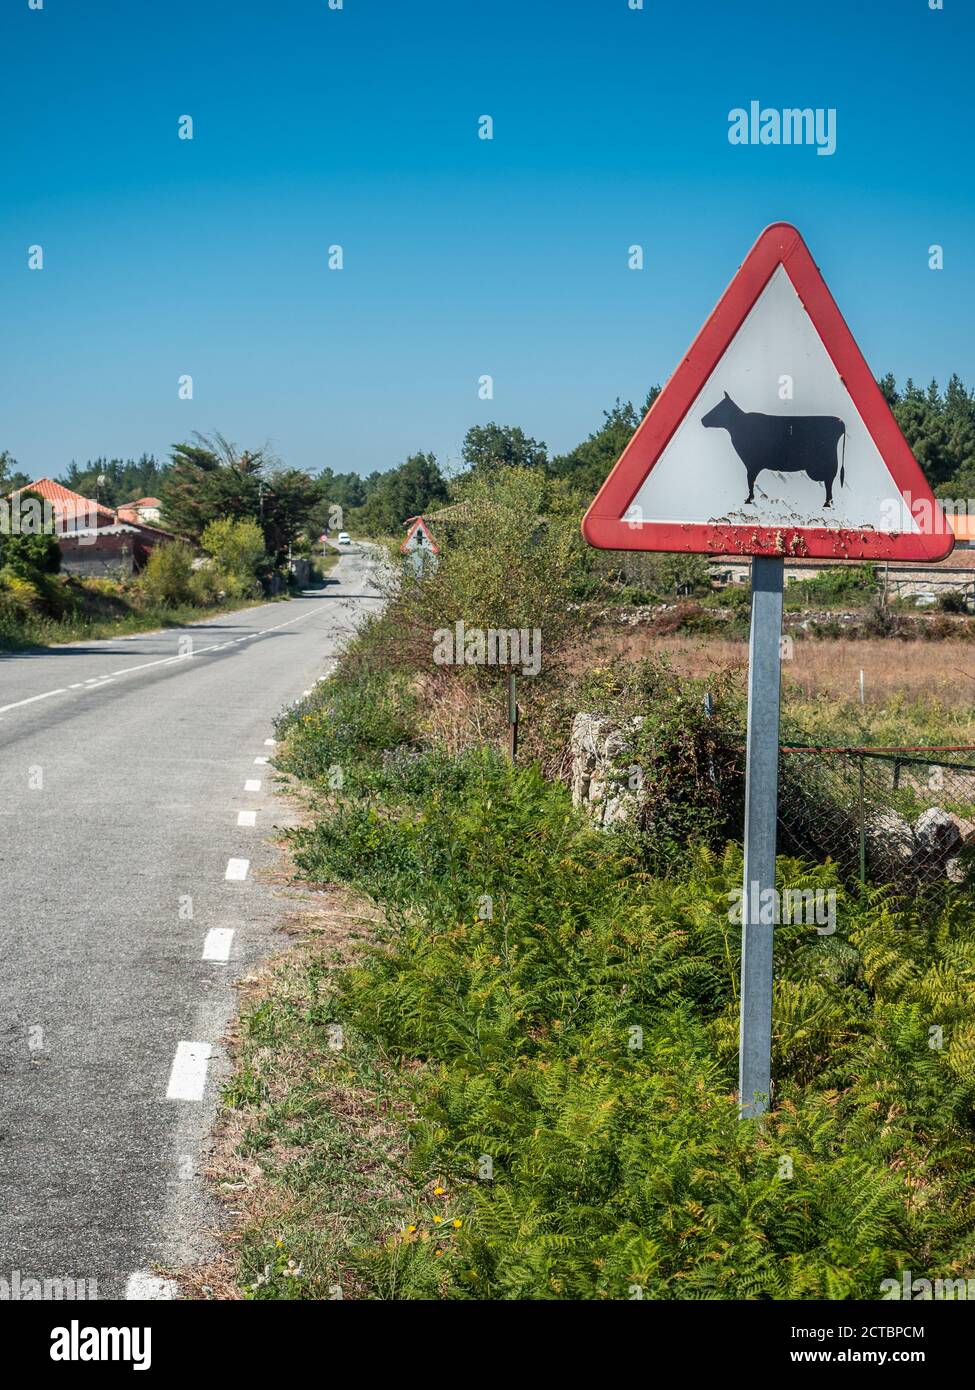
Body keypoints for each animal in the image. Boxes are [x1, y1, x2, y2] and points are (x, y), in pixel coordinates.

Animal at [701, 392, 846, 507]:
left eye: (719, 408)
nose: (702, 420)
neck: (739, 426)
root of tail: (840, 422)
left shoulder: (752, 464)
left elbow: (750, 480)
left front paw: (749, 499)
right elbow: (751, 480)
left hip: (829, 464)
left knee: (829, 481)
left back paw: (827, 503)